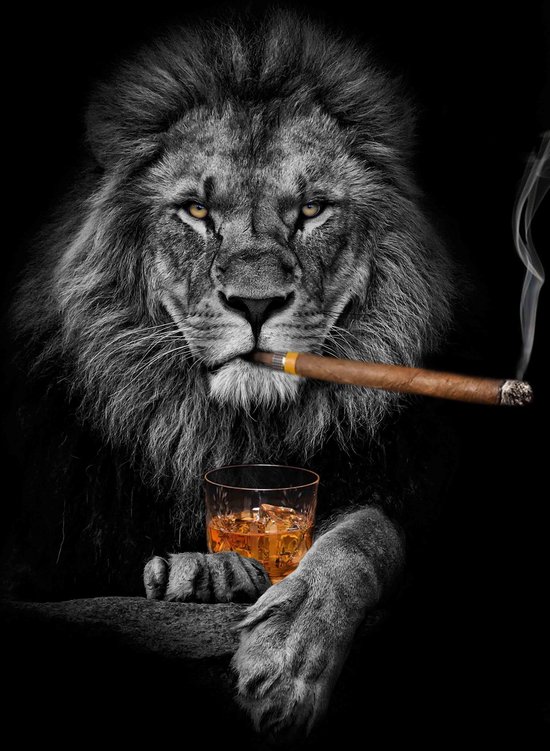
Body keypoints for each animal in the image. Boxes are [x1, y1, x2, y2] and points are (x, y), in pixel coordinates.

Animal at [3, 8, 460, 740]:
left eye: (312, 209)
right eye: (195, 211)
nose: (255, 302)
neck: (231, 431)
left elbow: (364, 533)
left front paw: (290, 645)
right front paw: (208, 571)